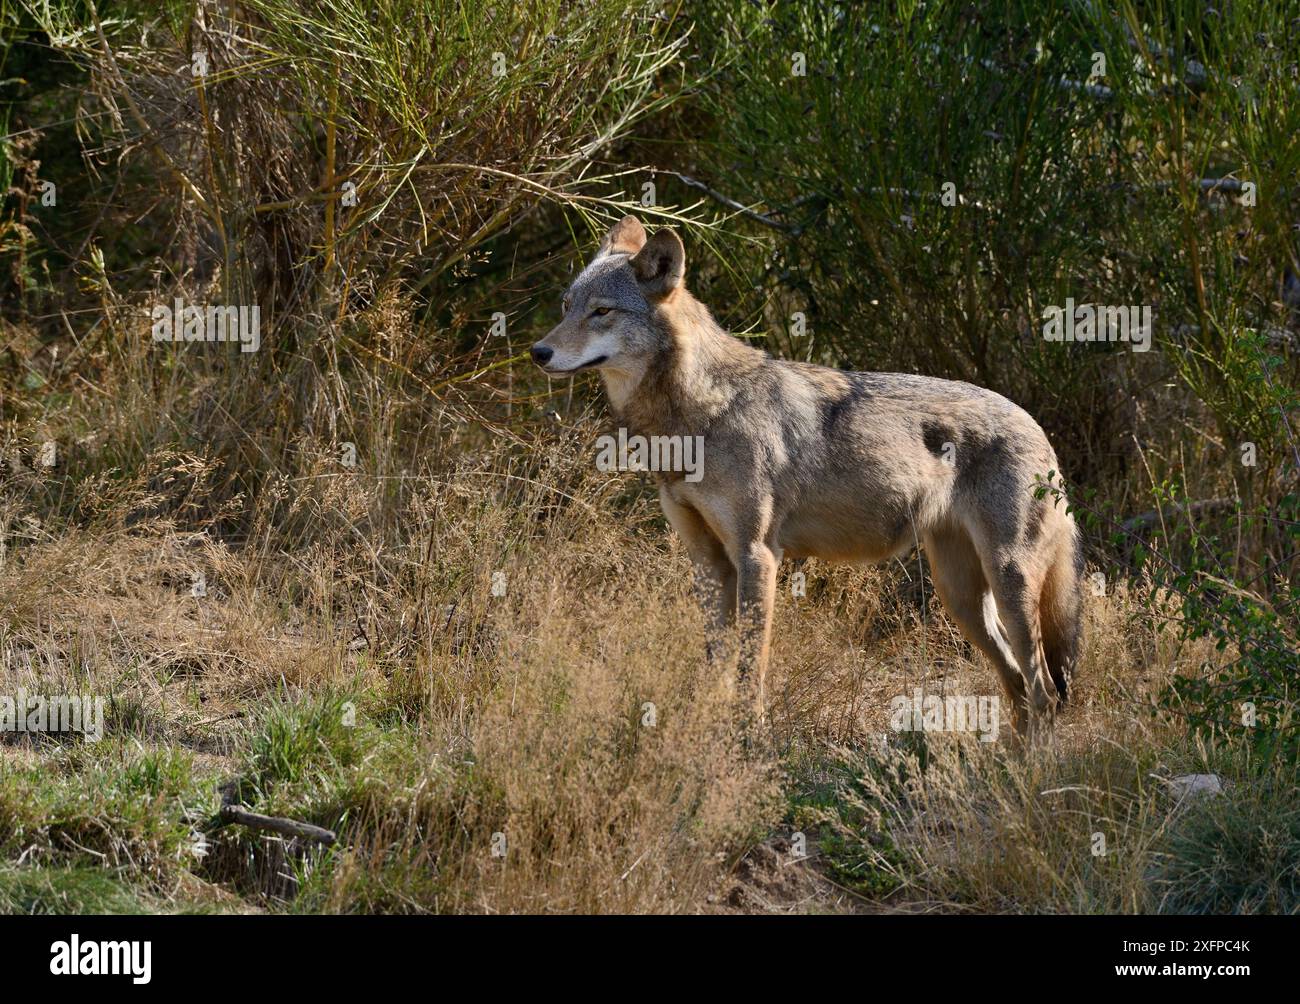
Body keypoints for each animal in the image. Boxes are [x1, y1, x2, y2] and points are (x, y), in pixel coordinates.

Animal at [531, 215, 1084, 740]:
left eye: (601, 311)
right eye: (566, 306)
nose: (539, 352)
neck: (697, 417)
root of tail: (1040, 430)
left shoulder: (757, 554)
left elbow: (751, 664)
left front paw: (748, 737)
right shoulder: (707, 560)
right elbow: (716, 663)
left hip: (1006, 585)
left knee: (1044, 690)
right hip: (962, 599)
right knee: (1018, 687)